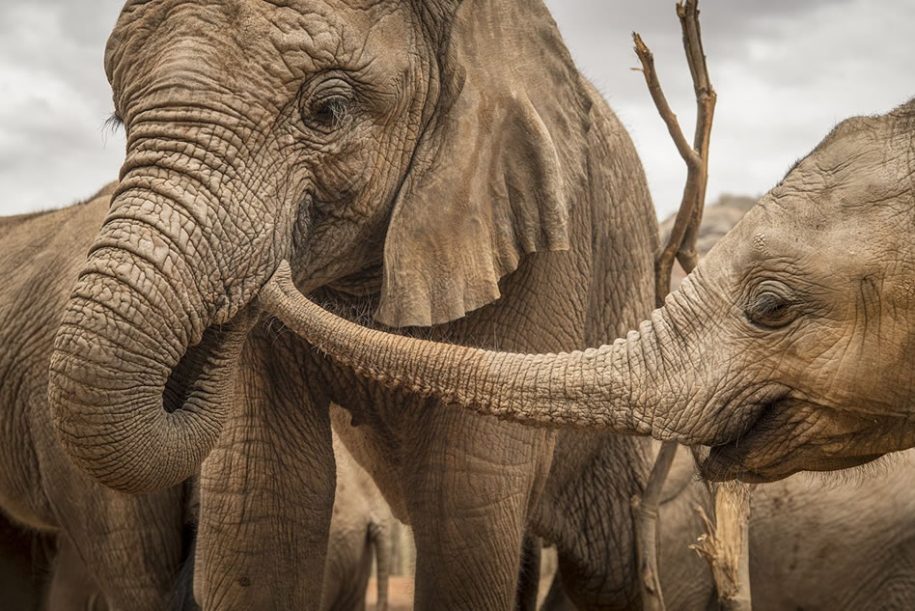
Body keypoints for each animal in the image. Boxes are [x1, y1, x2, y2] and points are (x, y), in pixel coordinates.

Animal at [38, 0, 662, 608]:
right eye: (120, 120)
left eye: (328, 110)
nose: (243, 298)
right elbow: (267, 496)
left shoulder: (542, 229)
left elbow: (463, 496)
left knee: (609, 571)